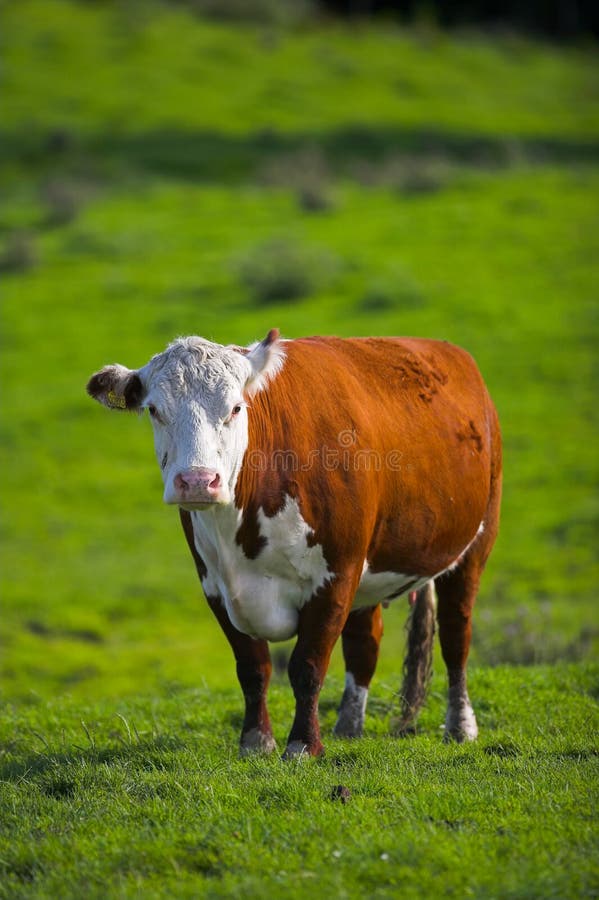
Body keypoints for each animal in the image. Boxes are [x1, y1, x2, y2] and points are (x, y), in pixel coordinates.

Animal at [87, 330, 502, 758]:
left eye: (235, 408)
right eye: (154, 410)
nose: (198, 481)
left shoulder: (337, 573)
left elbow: (307, 665)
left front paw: (303, 745)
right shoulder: (215, 585)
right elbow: (252, 666)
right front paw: (256, 741)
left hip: (474, 545)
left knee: (455, 635)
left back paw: (460, 726)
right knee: (364, 645)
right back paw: (348, 727)